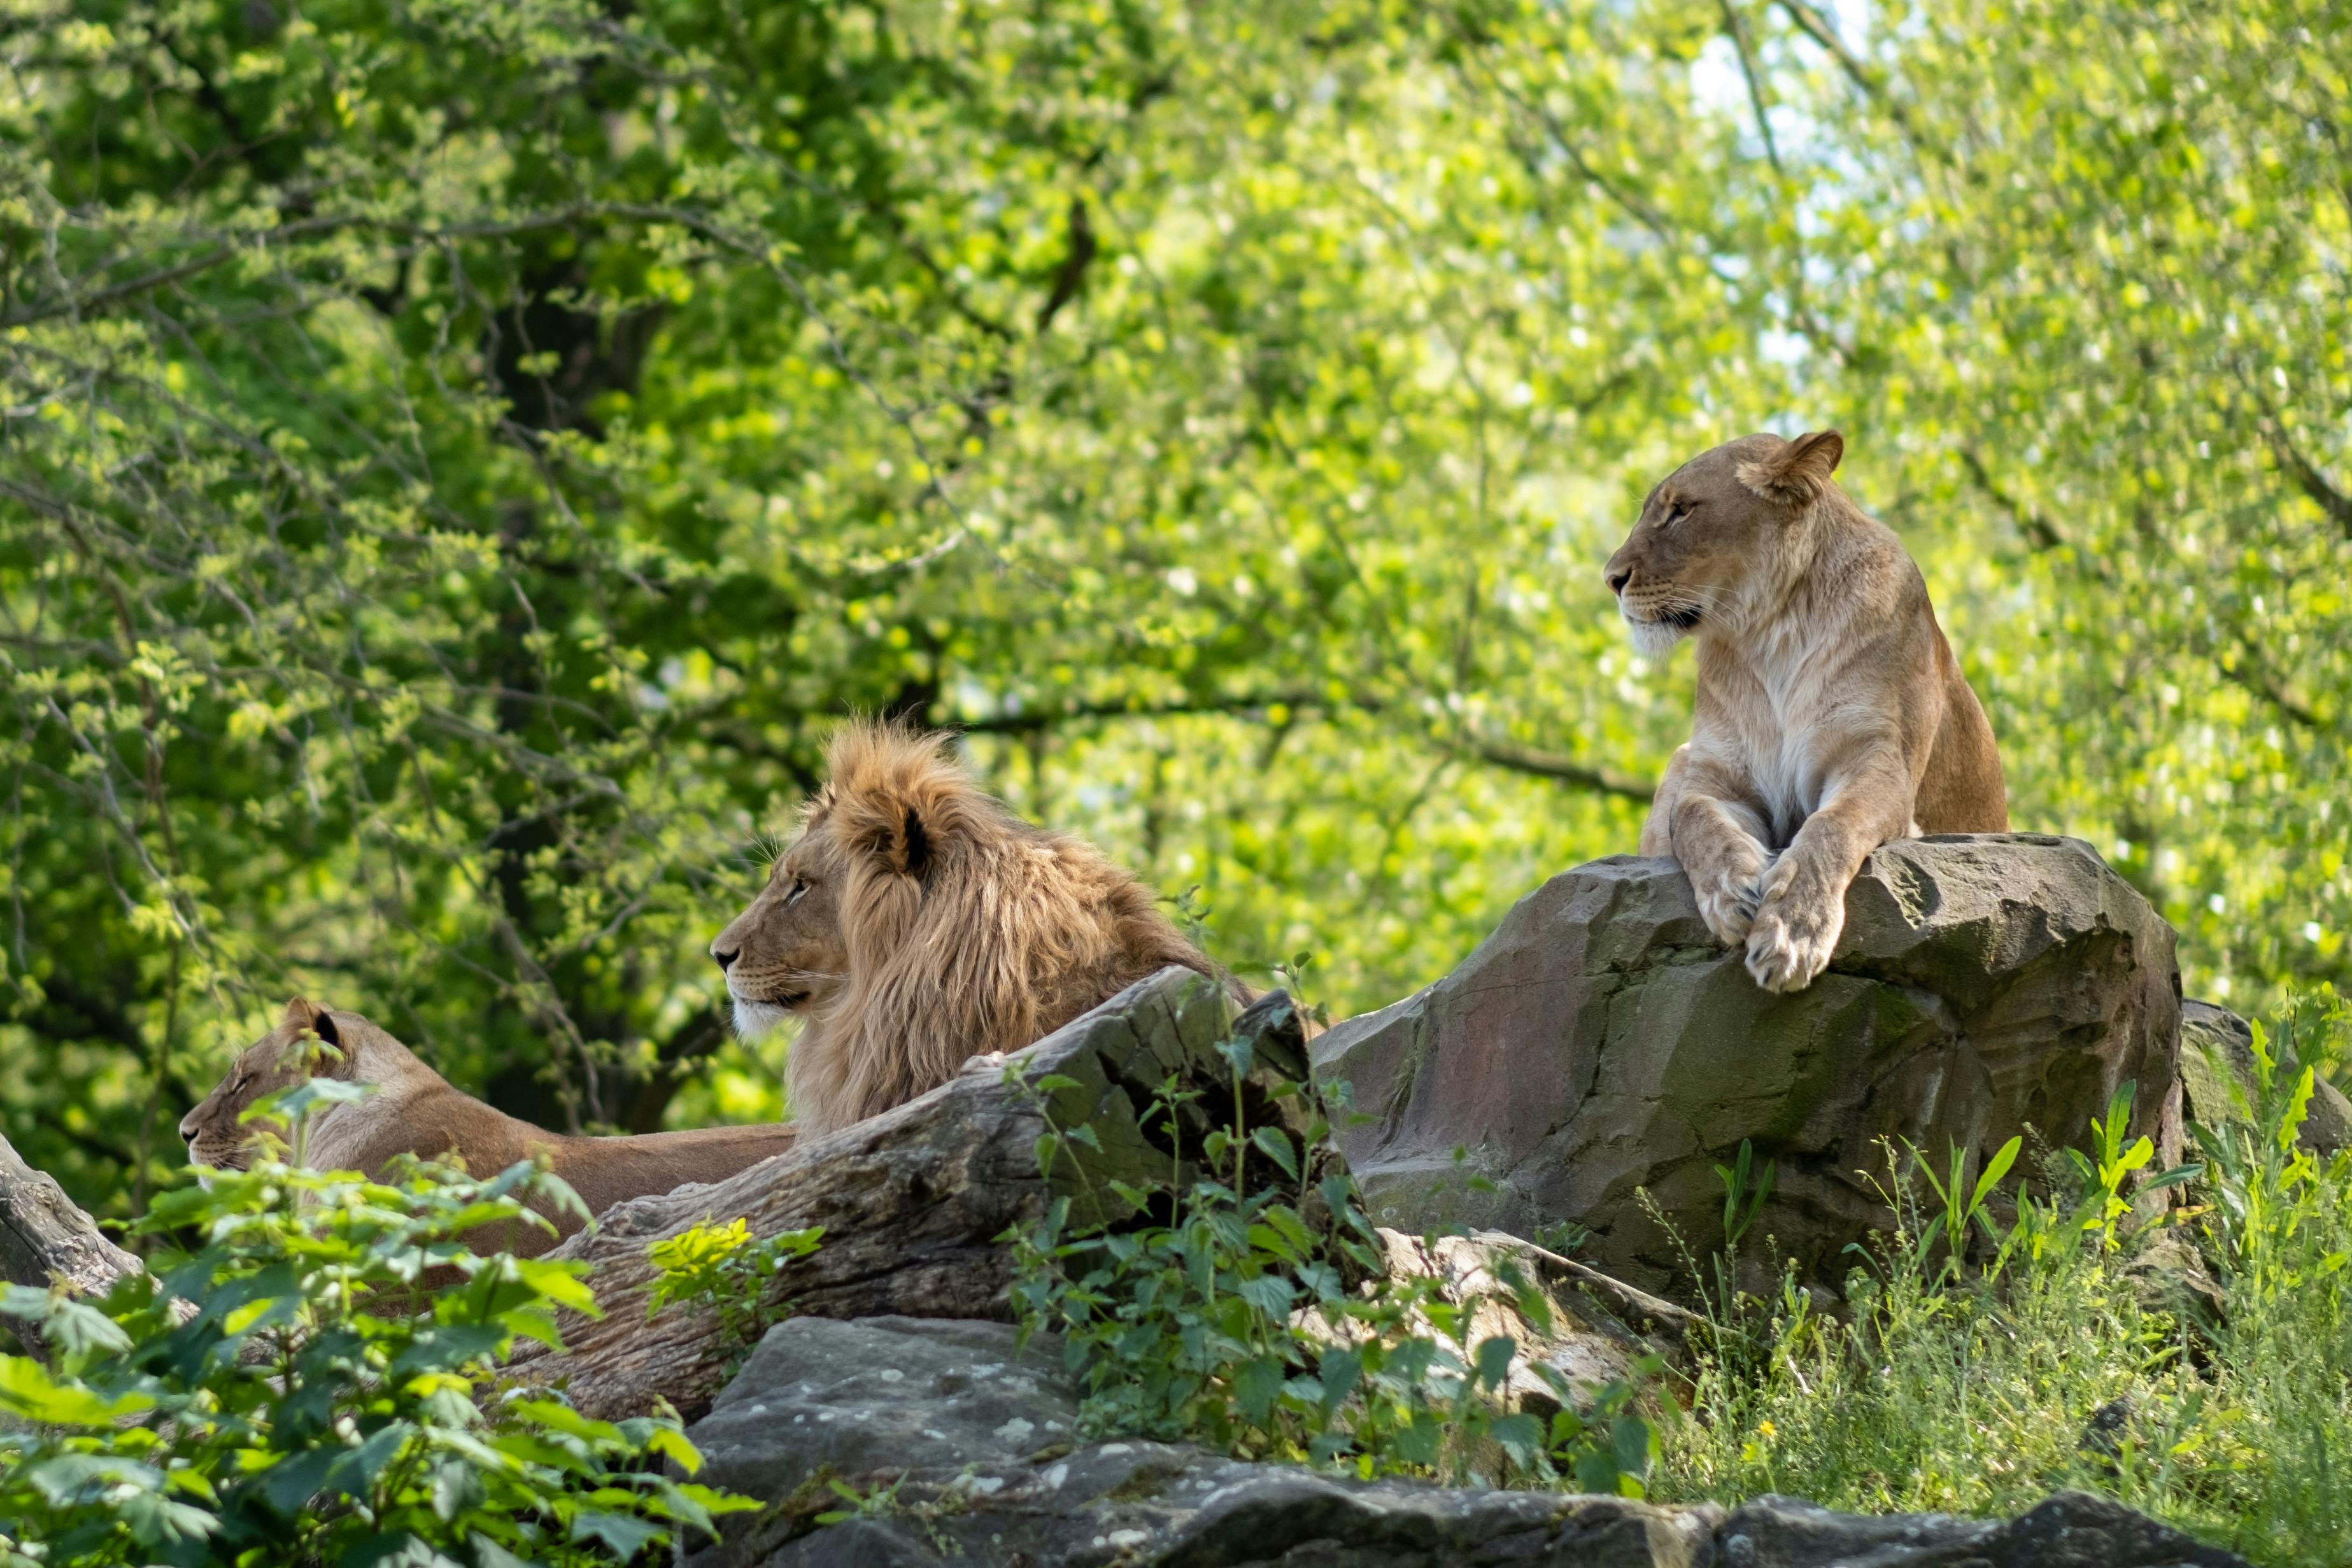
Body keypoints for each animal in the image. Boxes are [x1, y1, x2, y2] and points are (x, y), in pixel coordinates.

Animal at [1603, 430, 2008, 994]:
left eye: (1681, 511)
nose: (1610, 578)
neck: (1772, 632)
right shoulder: (1717, 771)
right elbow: (1692, 817)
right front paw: (1732, 892)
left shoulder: (1877, 762)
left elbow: (1829, 827)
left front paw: (1792, 930)